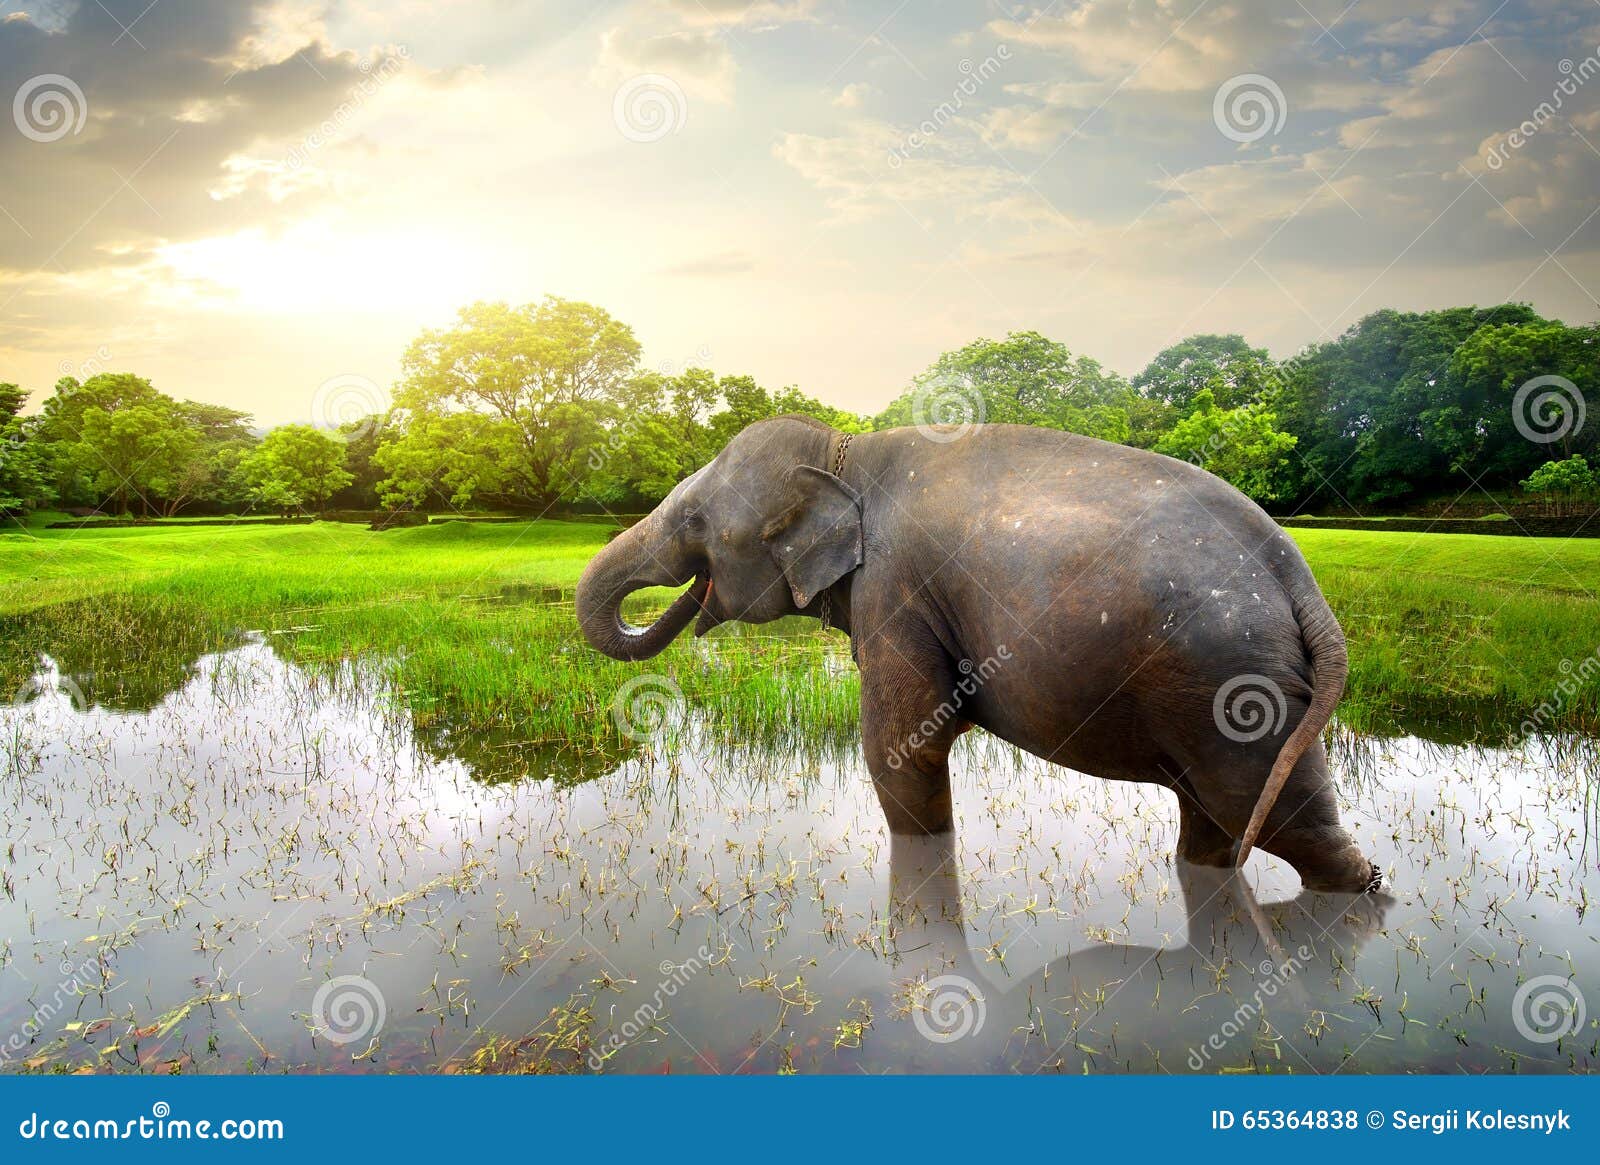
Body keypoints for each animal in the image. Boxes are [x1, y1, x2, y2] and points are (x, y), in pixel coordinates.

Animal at [576, 415, 1382, 894]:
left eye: (693, 520)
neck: (843, 450)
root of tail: (1295, 572)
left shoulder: (893, 587)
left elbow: (902, 748)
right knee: (1220, 818)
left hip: (1233, 684)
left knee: (1289, 825)